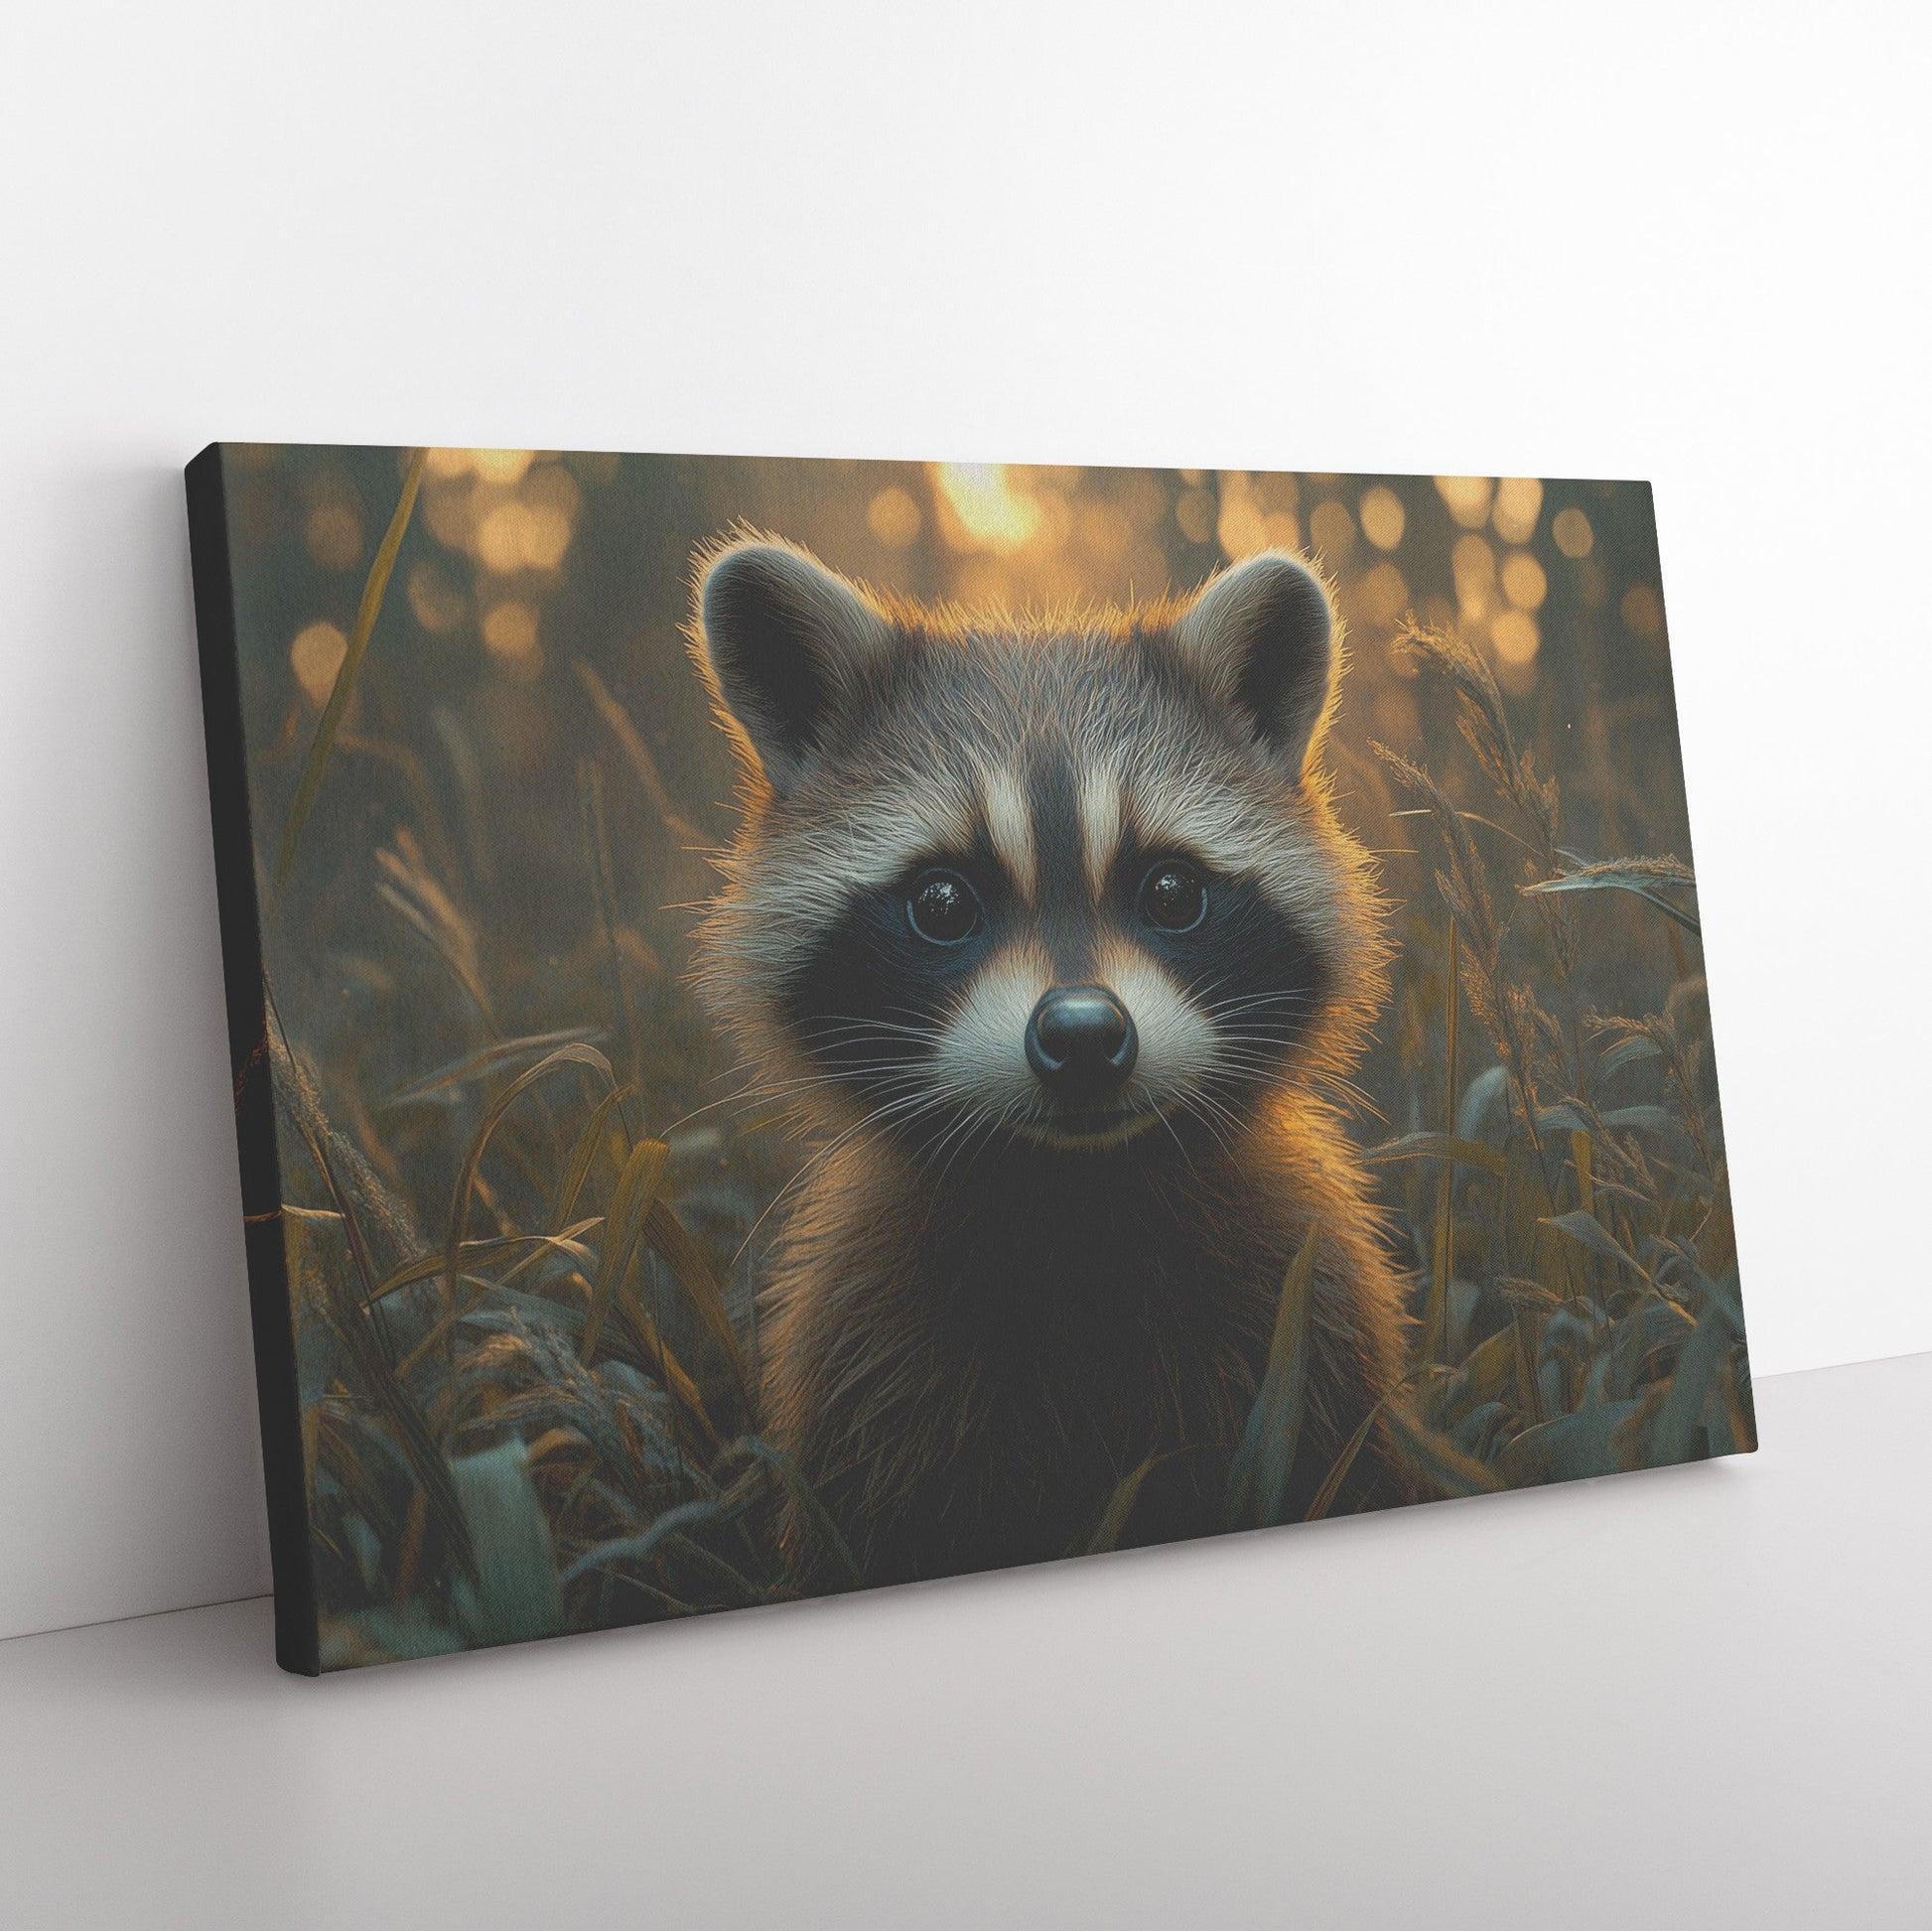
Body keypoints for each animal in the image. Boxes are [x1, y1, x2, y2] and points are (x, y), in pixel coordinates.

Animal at [687, 534, 1413, 1590]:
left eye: (1171, 891)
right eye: (943, 902)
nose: (1081, 1035)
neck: (1077, 1197)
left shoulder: (1314, 1314)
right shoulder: (863, 1368)